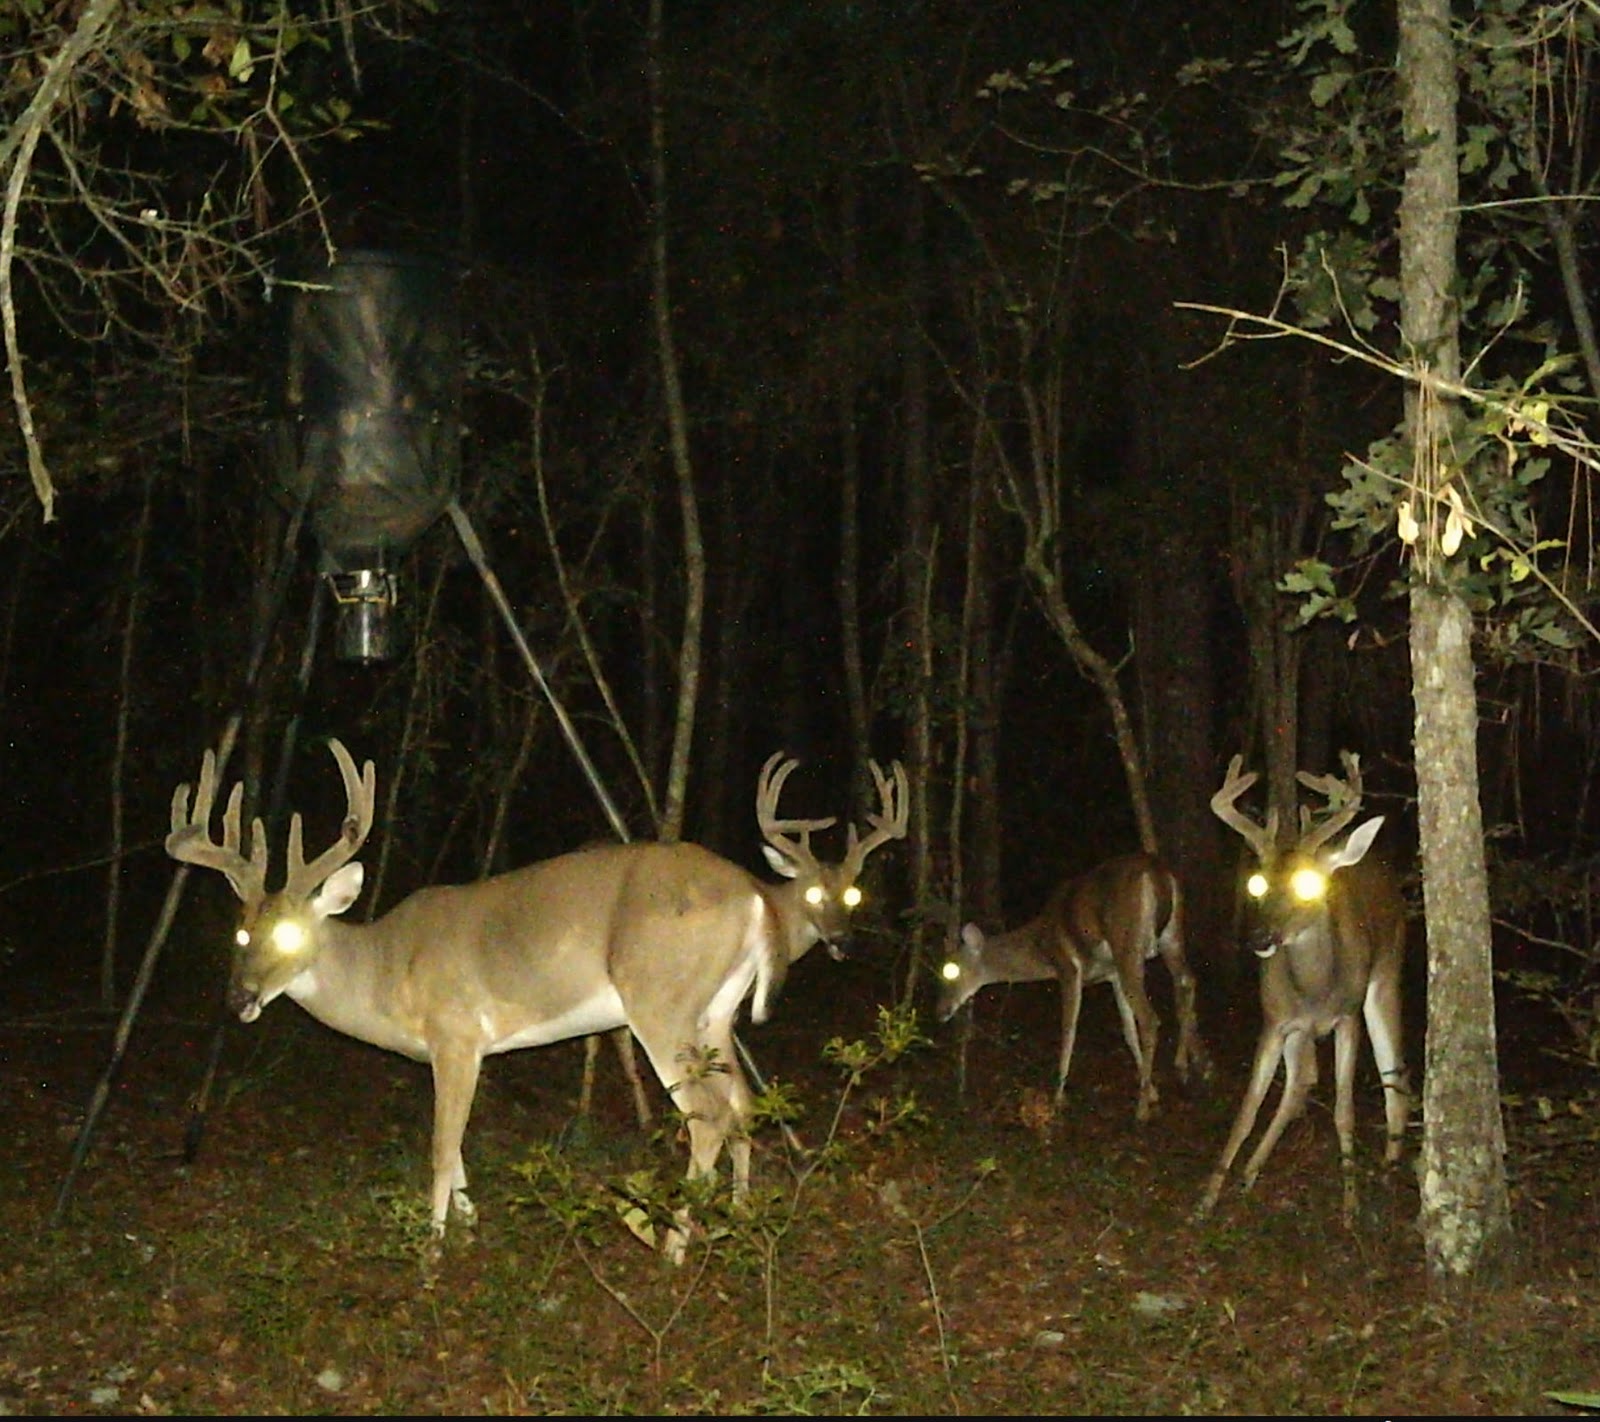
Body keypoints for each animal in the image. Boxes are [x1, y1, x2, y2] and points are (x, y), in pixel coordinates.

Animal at [166, 740, 907, 1262]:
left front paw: (432, 1252)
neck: (387, 968)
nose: (239, 997)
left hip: (661, 999)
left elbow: (441, 1145)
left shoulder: (456, 1034)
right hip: (715, 1012)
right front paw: (471, 1228)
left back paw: (673, 1248)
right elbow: (459, 1146)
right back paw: (743, 1218)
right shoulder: (455, 1051)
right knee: (744, 1104)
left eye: (290, 933)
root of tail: (756, 896)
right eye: (241, 932)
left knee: (707, 1115)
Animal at [936, 852, 1212, 1122]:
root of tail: (1158, 874)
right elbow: (1127, 1030)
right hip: (1171, 937)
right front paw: (1153, 1089)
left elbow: (1069, 1029)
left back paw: (1142, 1109)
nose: (940, 1011)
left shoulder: (1068, 968)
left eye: (951, 970)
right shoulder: (1111, 974)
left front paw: (1058, 1095)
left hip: (1128, 945)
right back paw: (1188, 1067)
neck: (1043, 947)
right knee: (1187, 981)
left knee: (1150, 1018)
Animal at [1196, 751, 1411, 1226]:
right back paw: (1248, 1175)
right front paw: (1206, 1199)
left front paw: (1350, 1207)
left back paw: (1390, 1173)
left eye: (1307, 883)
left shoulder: (1346, 1016)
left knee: (1395, 1076)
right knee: (1299, 1084)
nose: (1259, 939)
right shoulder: (1276, 1019)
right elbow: (1248, 1108)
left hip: (1386, 974)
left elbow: (1345, 1112)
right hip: (1300, 1031)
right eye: (1257, 882)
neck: (1314, 991)